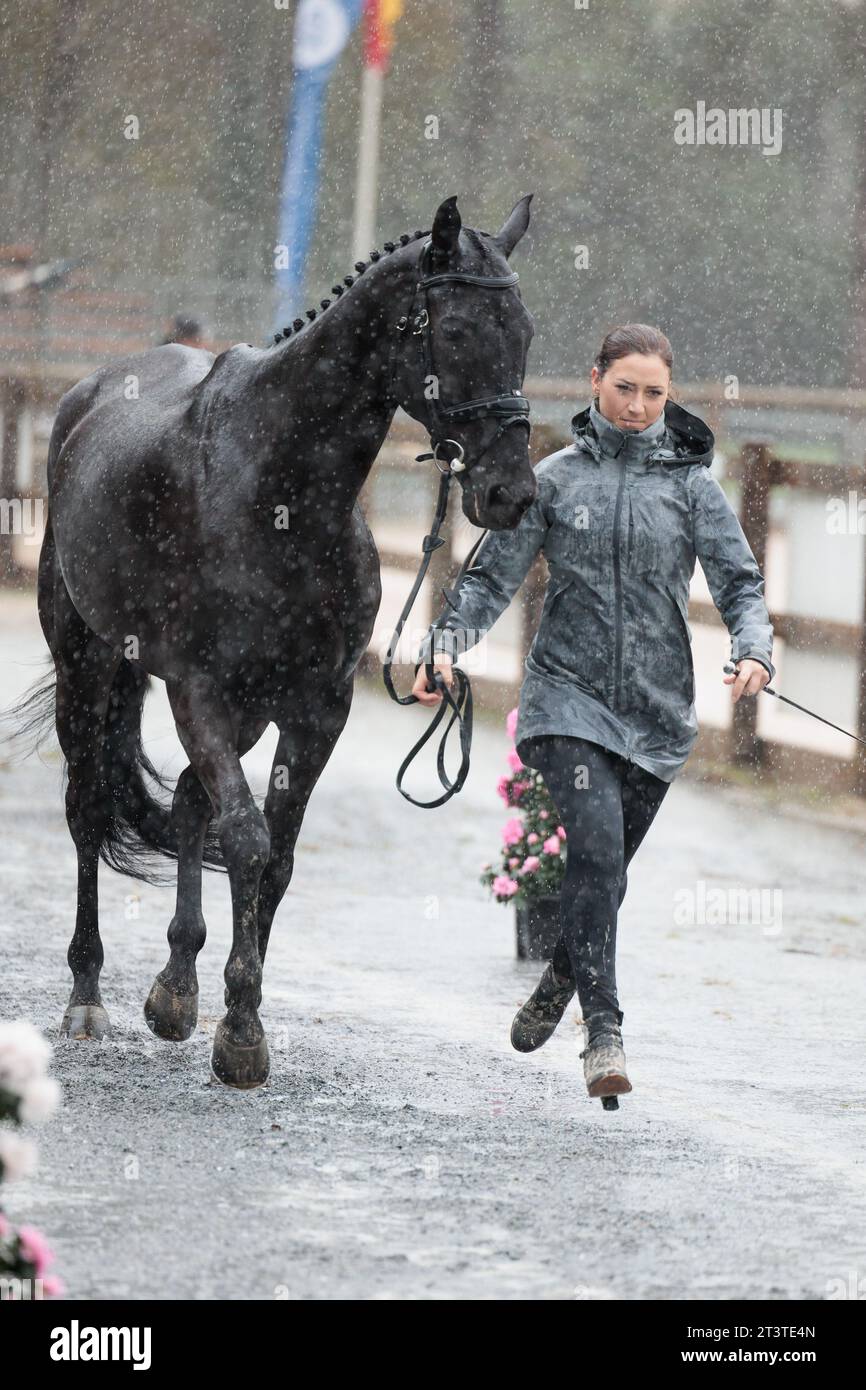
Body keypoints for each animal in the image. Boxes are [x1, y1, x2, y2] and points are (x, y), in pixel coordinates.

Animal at [22, 193, 537, 1087]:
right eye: (460, 328)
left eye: (527, 332)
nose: (511, 492)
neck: (278, 486)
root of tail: (84, 397)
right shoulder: (198, 690)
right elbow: (249, 841)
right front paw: (238, 1028)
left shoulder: (314, 707)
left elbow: (279, 854)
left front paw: (233, 1011)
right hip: (87, 668)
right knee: (89, 811)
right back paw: (88, 997)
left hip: (248, 707)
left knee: (189, 797)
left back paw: (175, 986)